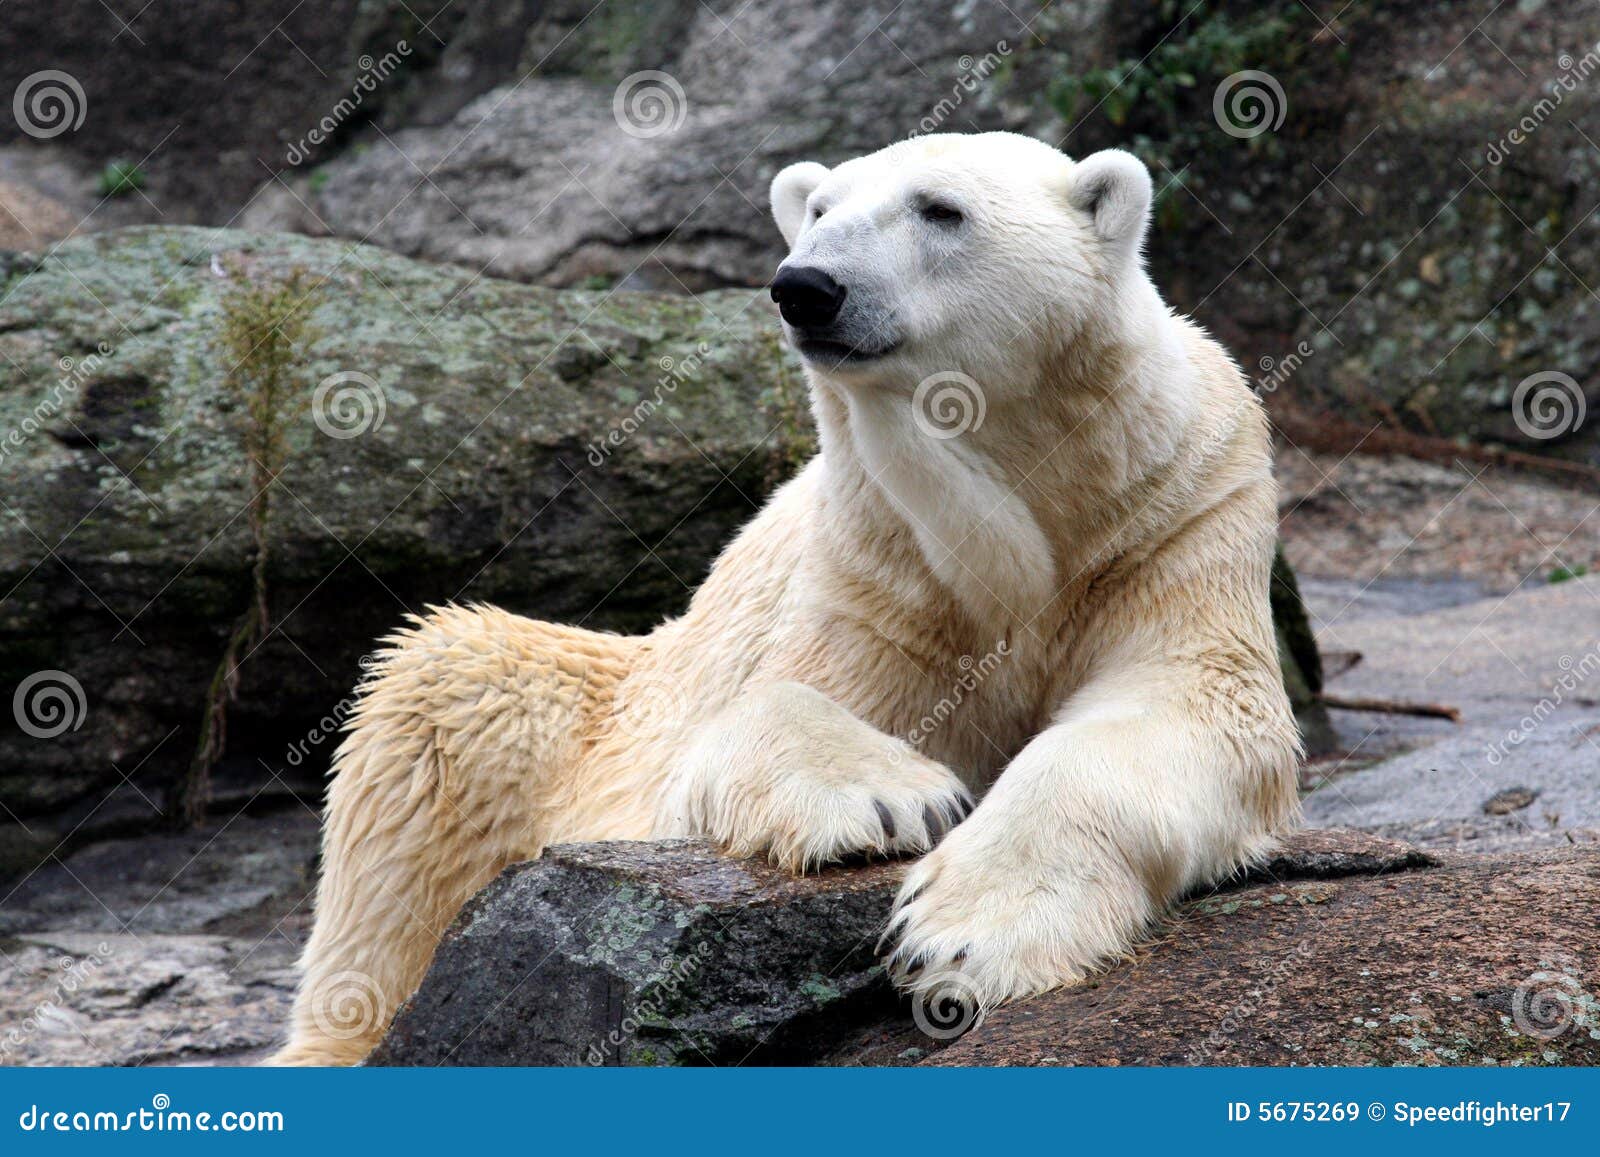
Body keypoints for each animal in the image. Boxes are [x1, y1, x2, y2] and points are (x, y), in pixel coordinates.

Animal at [270, 131, 1301, 1066]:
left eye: (940, 209)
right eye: (819, 209)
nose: (806, 285)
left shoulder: (1176, 515)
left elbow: (1195, 703)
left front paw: (960, 934)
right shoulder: (881, 554)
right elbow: (772, 703)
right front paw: (893, 799)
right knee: (429, 730)